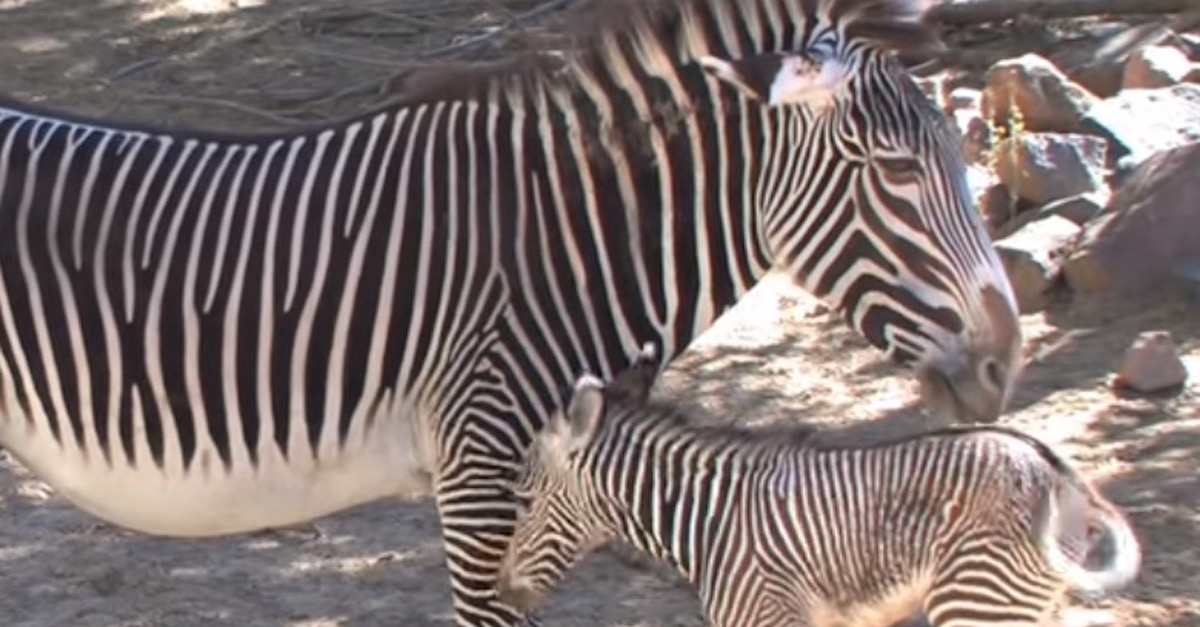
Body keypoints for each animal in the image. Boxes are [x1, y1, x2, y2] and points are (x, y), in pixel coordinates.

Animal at [496, 352, 1142, 627]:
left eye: (523, 501)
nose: (504, 594)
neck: (707, 521)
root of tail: (1059, 469)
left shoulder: (765, 616)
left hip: (977, 601)